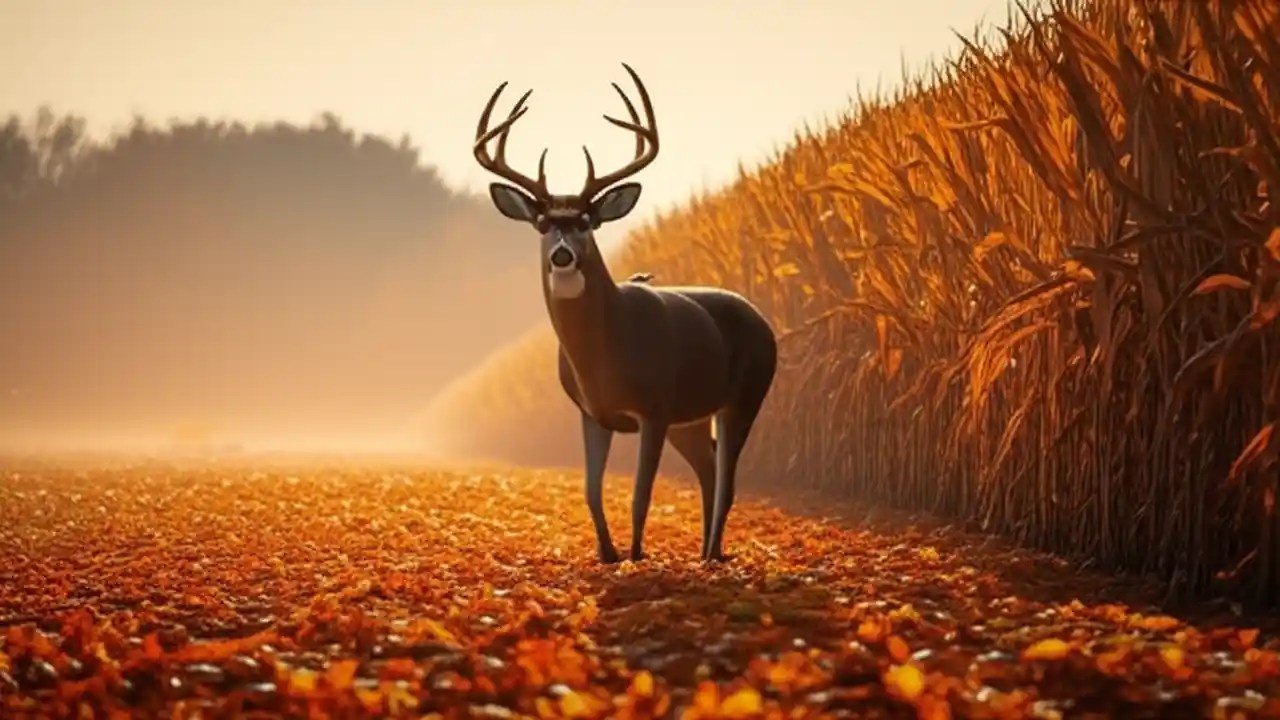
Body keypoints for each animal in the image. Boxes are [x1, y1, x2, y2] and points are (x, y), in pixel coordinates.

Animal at [471, 63, 777, 565]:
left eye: (585, 221)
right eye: (543, 223)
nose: (561, 256)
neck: (605, 352)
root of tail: (762, 319)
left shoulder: (654, 406)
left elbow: (640, 492)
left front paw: (636, 556)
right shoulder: (592, 411)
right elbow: (591, 490)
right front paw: (608, 554)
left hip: (746, 395)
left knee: (728, 478)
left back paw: (712, 556)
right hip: (689, 419)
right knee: (709, 468)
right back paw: (704, 551)